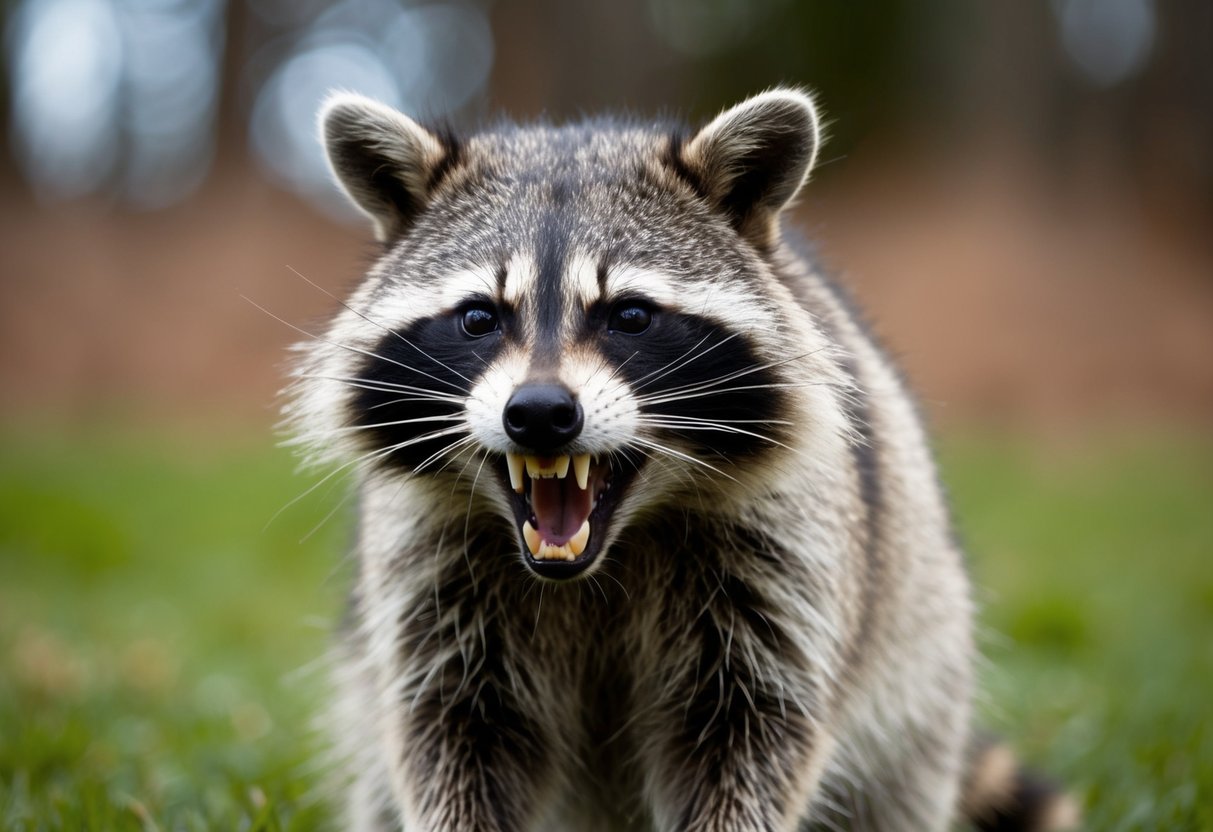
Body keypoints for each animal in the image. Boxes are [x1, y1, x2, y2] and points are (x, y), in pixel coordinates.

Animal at [287, 89, 1078, 831]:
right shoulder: (430, 574)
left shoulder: (786, 561)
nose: (539, 412)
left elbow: (750, 735)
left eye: (630, 316)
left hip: (922, 674)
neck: (605, 555)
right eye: (479, 317)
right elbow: (451, 736)